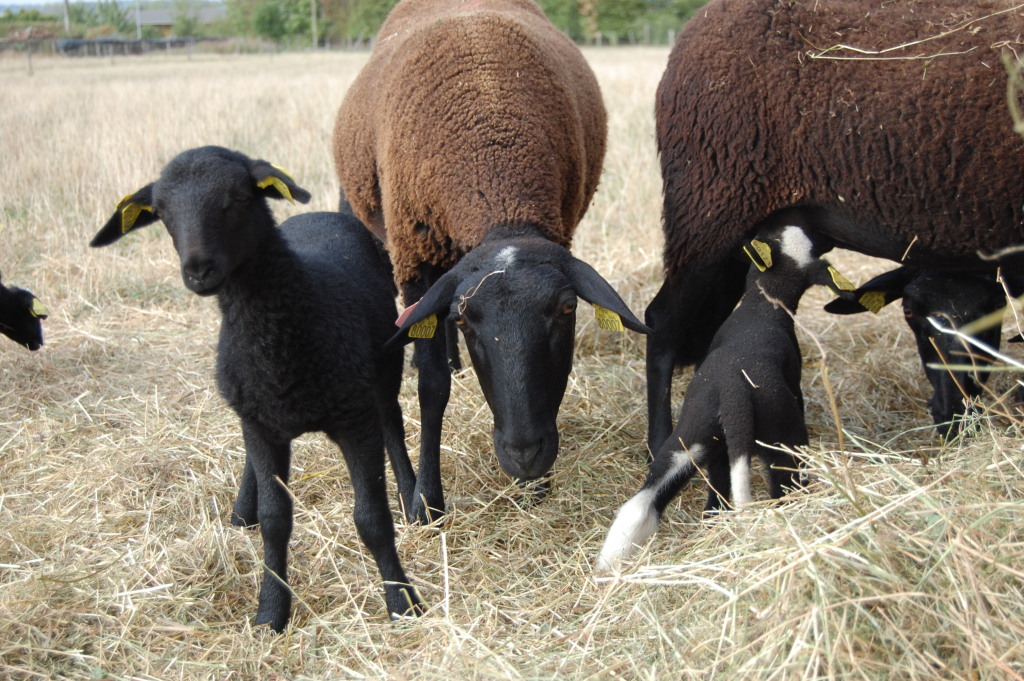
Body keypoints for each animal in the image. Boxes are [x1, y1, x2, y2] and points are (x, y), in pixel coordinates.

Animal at [89, 146, 423, 632]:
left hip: (382, 370)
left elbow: (371, 518)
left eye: (236, 197)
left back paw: (413, 497)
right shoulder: (260, 424)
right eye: (163, 213)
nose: (198, 270)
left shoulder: (355, 419)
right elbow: (274, 519)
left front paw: (402, 600)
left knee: (393, 424)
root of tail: (319, 213)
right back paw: (242, 507)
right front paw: (270, 610)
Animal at [332, 0, 649, 524]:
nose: (524, 454)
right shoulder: (414, 258)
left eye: (568, 309)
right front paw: (426, 501)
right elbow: (432, 387)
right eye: (465, 320)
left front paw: (535, 488)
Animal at [597, 224, 857, 572]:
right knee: (786, 486)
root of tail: (735, 395)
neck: (761, 305)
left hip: (687, 440)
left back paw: (611, 561)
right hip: (784, 438)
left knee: (647, 500)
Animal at [646, 0, 1024, 454]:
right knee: (662, 323)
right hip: (708, 205)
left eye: (994, 313)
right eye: (910, 314)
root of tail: (699, 22)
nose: (954, 419)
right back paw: (659, 443)